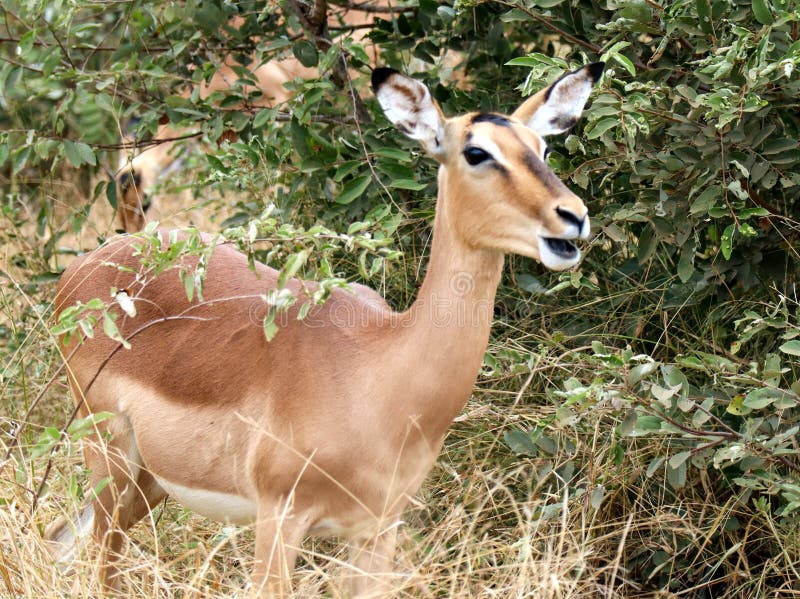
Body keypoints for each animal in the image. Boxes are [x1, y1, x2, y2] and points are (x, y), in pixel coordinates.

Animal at [49, 62, 604, 596]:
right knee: (96, 563)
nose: (573, 217)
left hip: (148, 482)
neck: (382, 370)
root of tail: (87, 264)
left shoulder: (377, 530)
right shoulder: (279, 517)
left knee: (65, 537)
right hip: (110, 458)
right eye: (476, 152)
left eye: (543, 147)